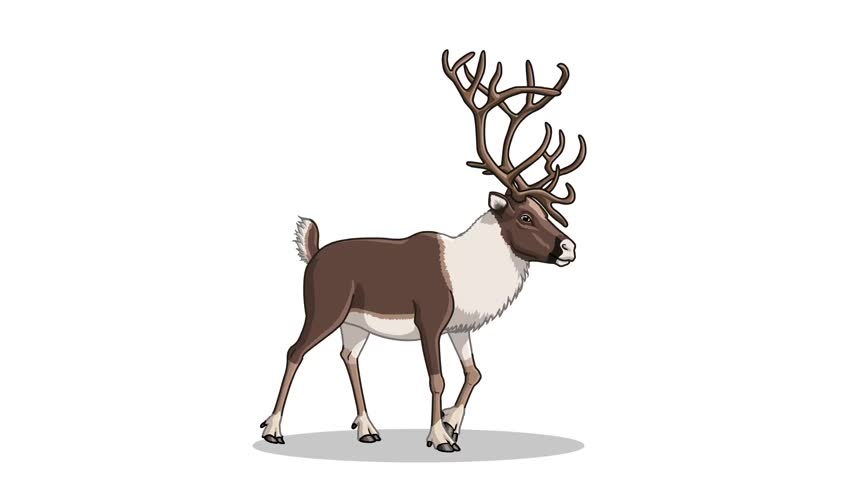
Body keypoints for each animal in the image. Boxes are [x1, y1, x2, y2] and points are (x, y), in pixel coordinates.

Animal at [260, 50, 587, 453]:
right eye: (525, 216)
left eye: (545, 212)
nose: (569, 247)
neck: (471, 270)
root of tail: (313, 252)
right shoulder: (430, 319)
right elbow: (437, 378)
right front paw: (440, 436)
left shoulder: (461, 327)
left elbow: (474, 372)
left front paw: (452, 422)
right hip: (324, 310)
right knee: (295, 351)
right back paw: (273, 429)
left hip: (354, 324)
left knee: (348, 357)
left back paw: (367, 428)